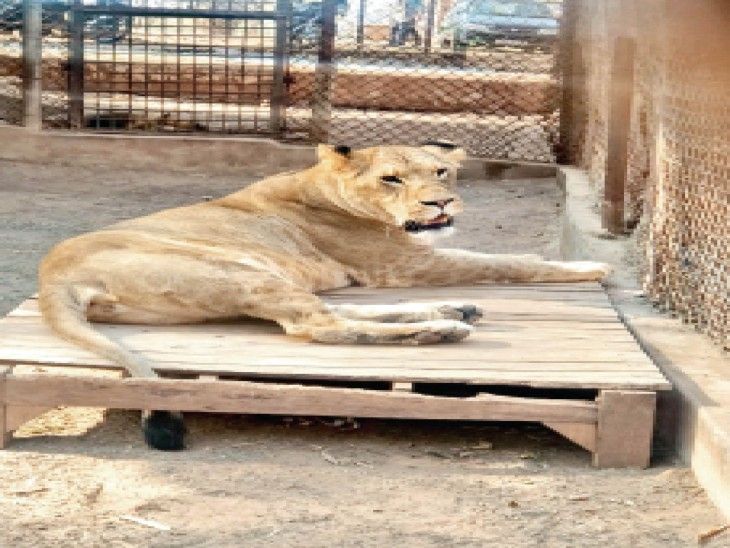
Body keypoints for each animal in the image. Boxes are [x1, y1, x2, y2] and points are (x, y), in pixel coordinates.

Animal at [38, 142, 610, 450]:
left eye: (441, 171)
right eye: (392, 178)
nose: (442, 203)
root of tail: (49, 278)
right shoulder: (403, 264)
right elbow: (505, 261)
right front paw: (590, 266)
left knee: (335, 312)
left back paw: (453, 310)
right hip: (241, 270)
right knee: (320, 325)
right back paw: (443, 326)